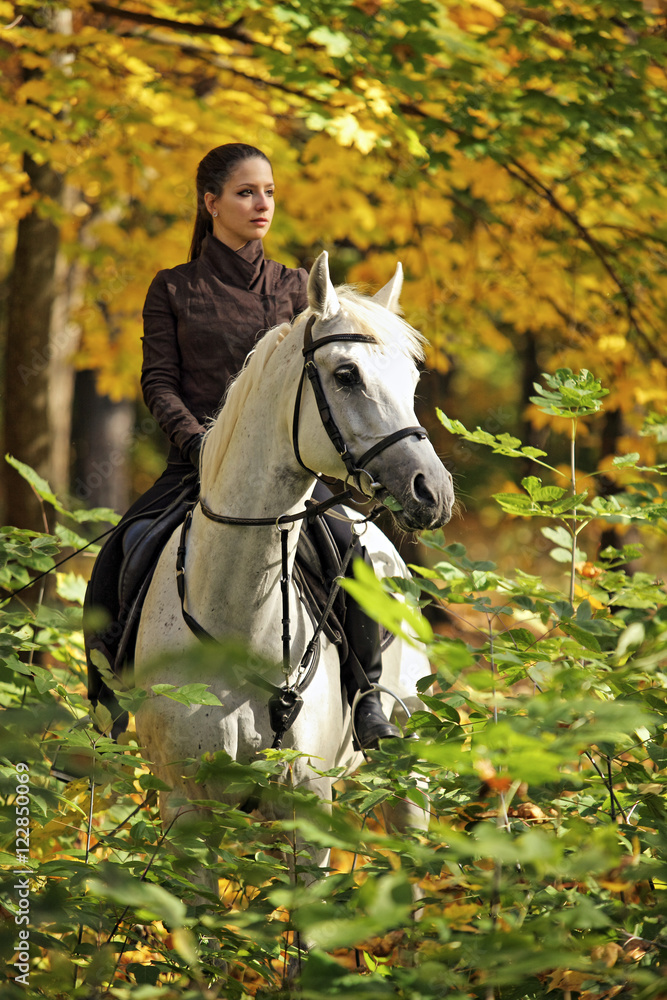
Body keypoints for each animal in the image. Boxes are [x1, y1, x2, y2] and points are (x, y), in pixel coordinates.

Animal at [133, 251, 454, 900]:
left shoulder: (308, 808)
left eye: (412, 383)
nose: (432, 492)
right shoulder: (187, 810)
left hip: (411, 778)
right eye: (347, 375)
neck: (238, 617)